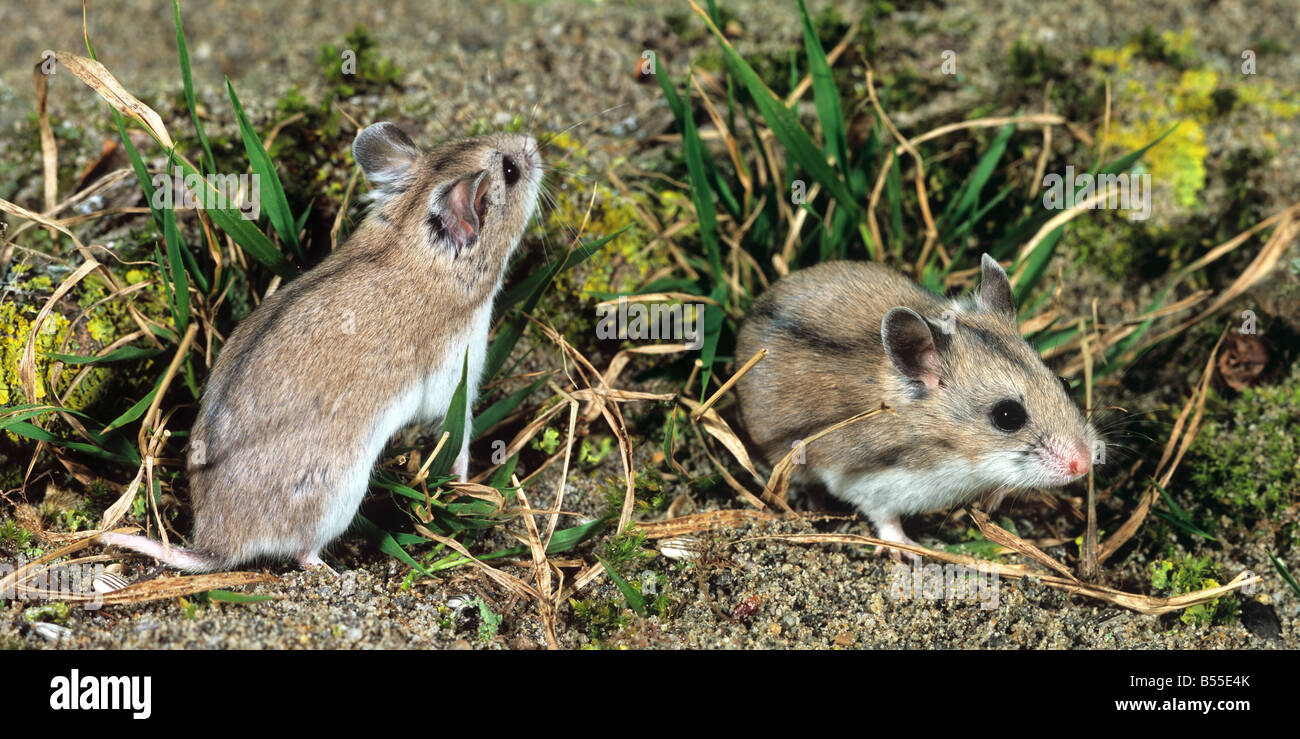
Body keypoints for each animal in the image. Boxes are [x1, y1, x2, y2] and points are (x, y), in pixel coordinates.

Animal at [98, 122, 542, 572]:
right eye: (510, 171)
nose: (533, 142)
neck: (413, 238)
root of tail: (215, 546)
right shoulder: (452, 383)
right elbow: (459, 438)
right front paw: (468, 485)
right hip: (337, 498)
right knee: (303, 554)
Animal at [734, 254, 1099, 561]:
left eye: (1065, 383)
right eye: (1007, 416)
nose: (1084, 465)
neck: (957, 459)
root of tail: (754, 308)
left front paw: (991, 499)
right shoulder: (862, 480)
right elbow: (885, 518)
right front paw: (909, 550)